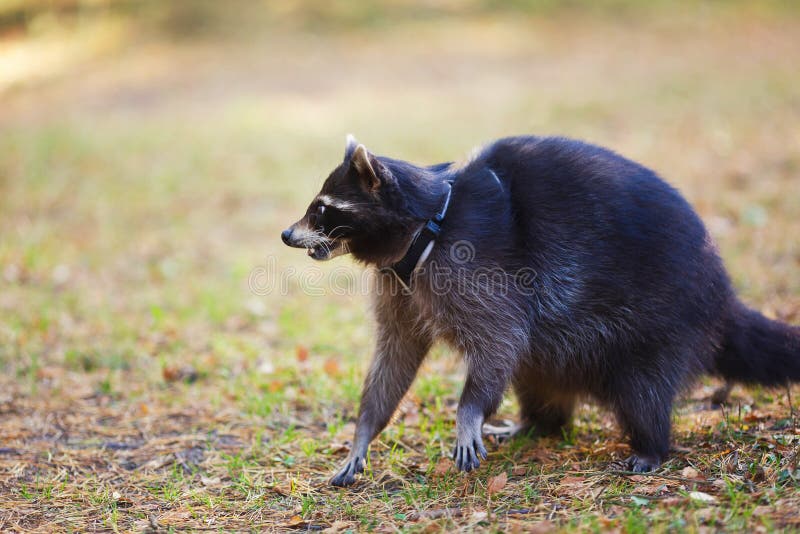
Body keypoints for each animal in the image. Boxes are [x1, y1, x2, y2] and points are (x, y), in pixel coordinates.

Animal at [281, 135, 800, 487]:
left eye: (322, 209)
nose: (286, 234)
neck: (428, 223)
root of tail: (721, 293)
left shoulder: (477, 268)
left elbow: (499, 339)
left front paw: (469, 410)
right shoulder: (401, 287)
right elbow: (396, 359)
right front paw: (365, 429)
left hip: (664, 318)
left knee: (642, 390)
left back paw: (652, 445)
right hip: (566, 348)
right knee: (534, 373)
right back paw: (537, 422)